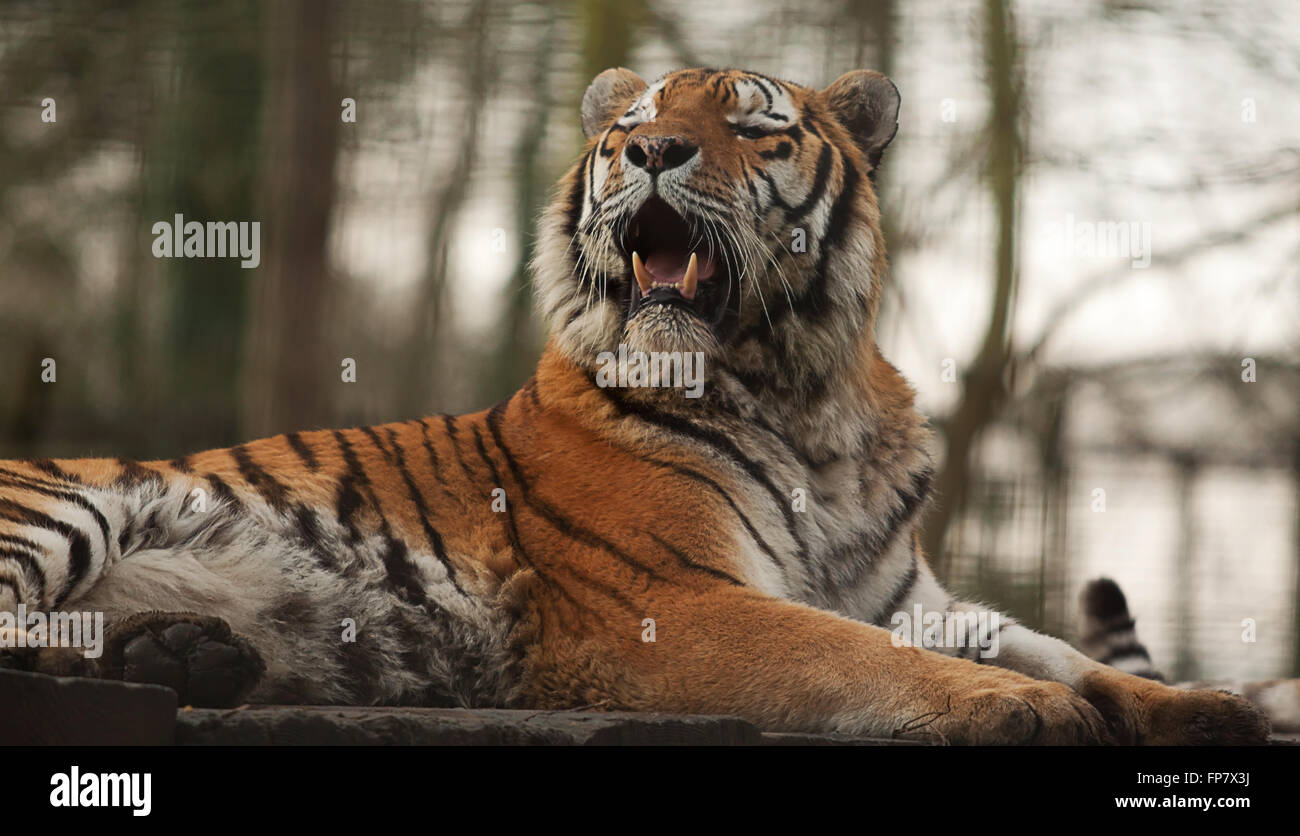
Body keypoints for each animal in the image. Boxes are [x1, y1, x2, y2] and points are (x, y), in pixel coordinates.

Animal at [0, 66, 1271, 744]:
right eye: (630, 126)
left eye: (754, 123)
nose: (651, 150)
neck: (810, 402)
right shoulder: (667, 598)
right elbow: (860, 652)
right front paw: (1019, 708)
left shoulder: (914, 594)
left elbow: (1059, 645)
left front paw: (1205, 705)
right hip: (61, 505)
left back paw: (181, 659)